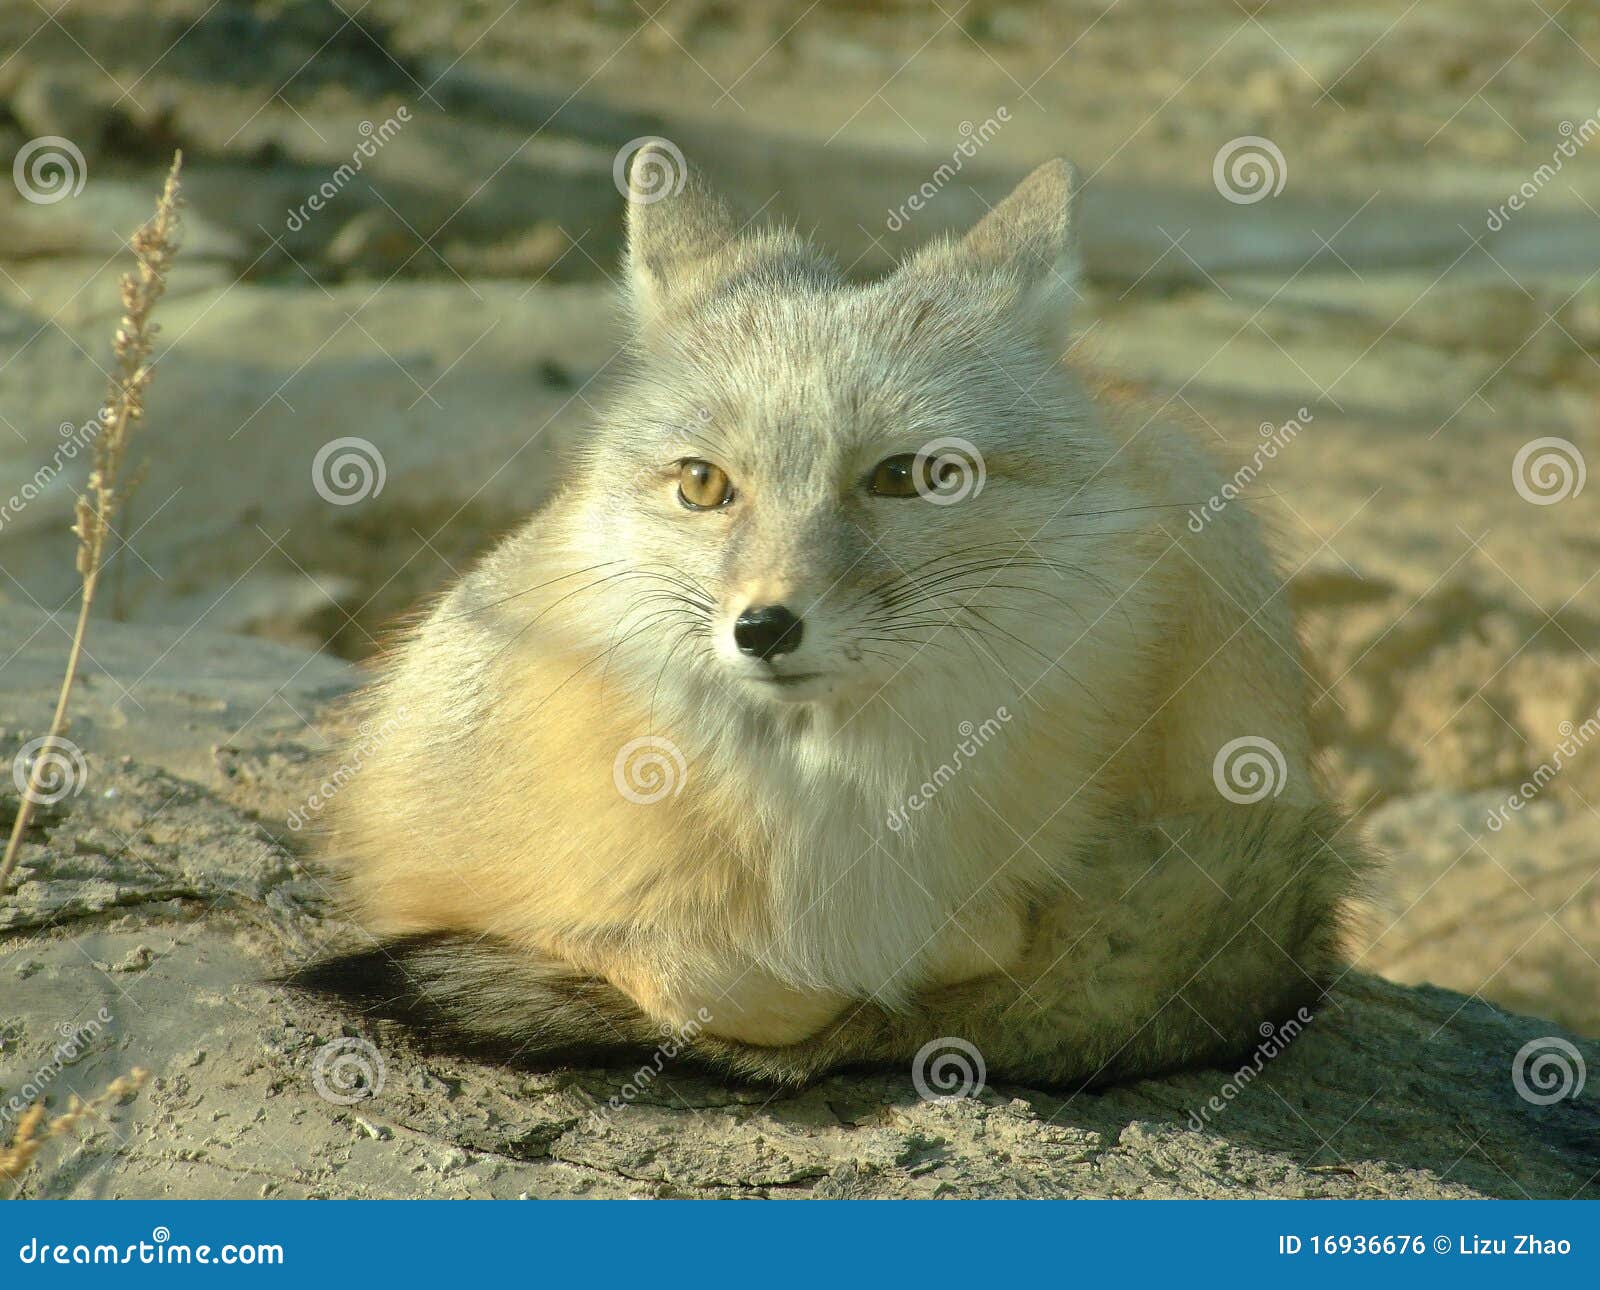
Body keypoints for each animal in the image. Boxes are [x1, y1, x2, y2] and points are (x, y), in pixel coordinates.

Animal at [288, 147, 1373, 1089]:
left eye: (907, 477)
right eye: (703, 485)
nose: (764, 628)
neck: (824, 812)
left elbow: (961, 954)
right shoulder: (431, 866)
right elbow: (696, 972)